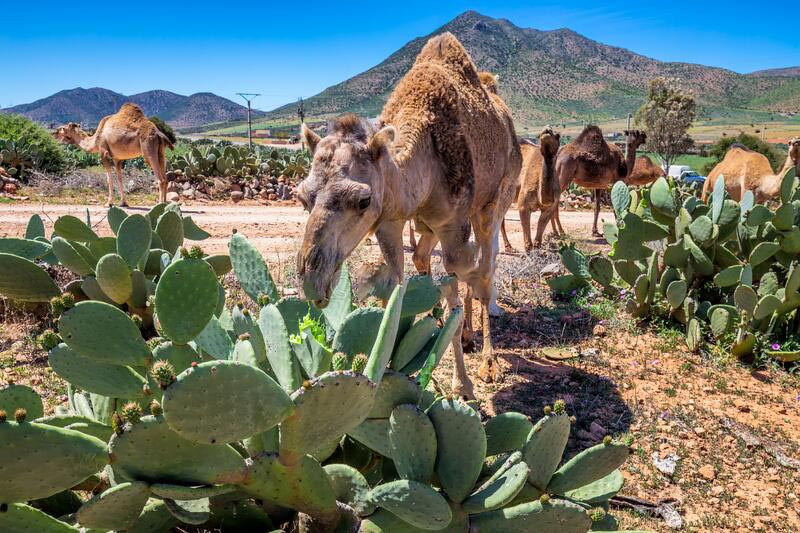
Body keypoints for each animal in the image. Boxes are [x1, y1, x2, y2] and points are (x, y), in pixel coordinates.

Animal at [296, 33, 521, 399]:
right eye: (302, 197)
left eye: (362, 200)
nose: (312, 281)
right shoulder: (390, 220)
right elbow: (398, 285)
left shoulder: (452, 222)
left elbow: (462, 279)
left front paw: (463, 386)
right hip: (430, 226)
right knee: (426, 258)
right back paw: (469, 333)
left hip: (496, 199)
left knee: (487, 262)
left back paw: (488, 357)